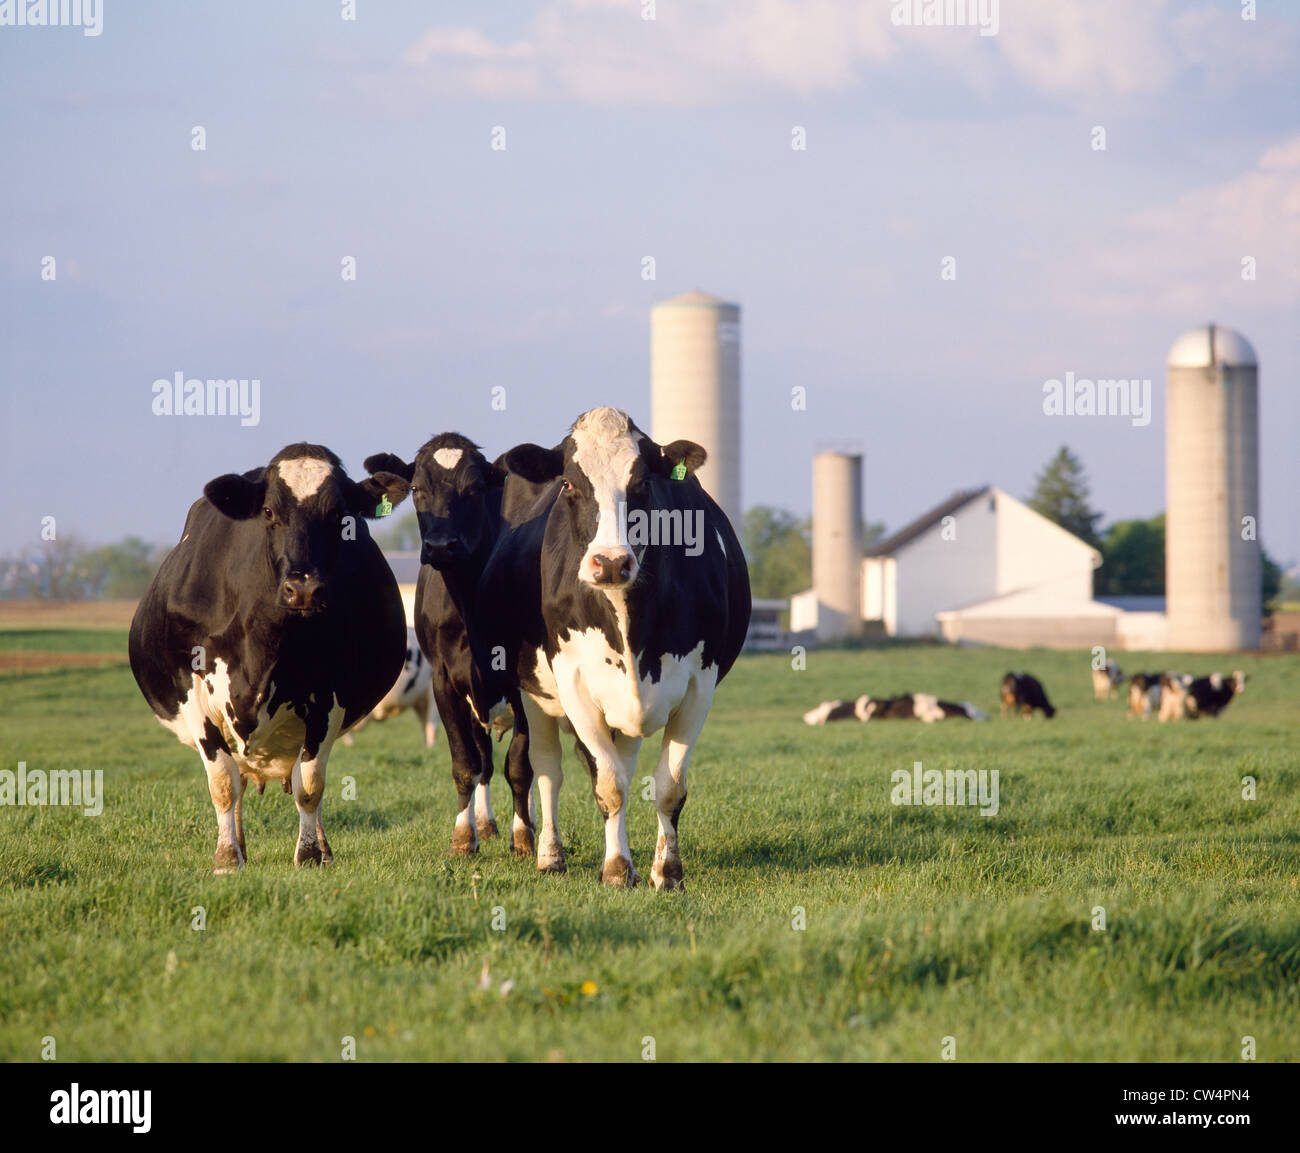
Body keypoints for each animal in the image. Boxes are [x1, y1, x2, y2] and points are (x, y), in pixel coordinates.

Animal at [128, 444, 411, 873]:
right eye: (268, 511)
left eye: (340, 515)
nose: (304, 589)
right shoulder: (191, 690)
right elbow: (223, 784)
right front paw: (227, 857)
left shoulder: (330, 697)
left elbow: (310, 785)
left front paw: (309, 855)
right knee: (240, 778)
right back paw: (240, 844)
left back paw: (323, 848)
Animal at [362, 434, 543, 859]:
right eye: (416, 489)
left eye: (474, 488)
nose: (442, 546)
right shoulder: (444, 683)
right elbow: (466, 763)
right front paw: (464, 838)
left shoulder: (522, 686)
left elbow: (521, 767)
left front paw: (524, 837)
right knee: (485, 761)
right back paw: (485, 822)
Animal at [481, 406, 751, 890]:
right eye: (570, 483)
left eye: (642, 482)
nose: (609, 562)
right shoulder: (573, 684)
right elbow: (608, 784)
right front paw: (615, 869)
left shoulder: (700, 686)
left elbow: (668, 786)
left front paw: (667, 872)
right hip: (534, 695)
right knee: (547, 770)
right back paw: (550, 855)